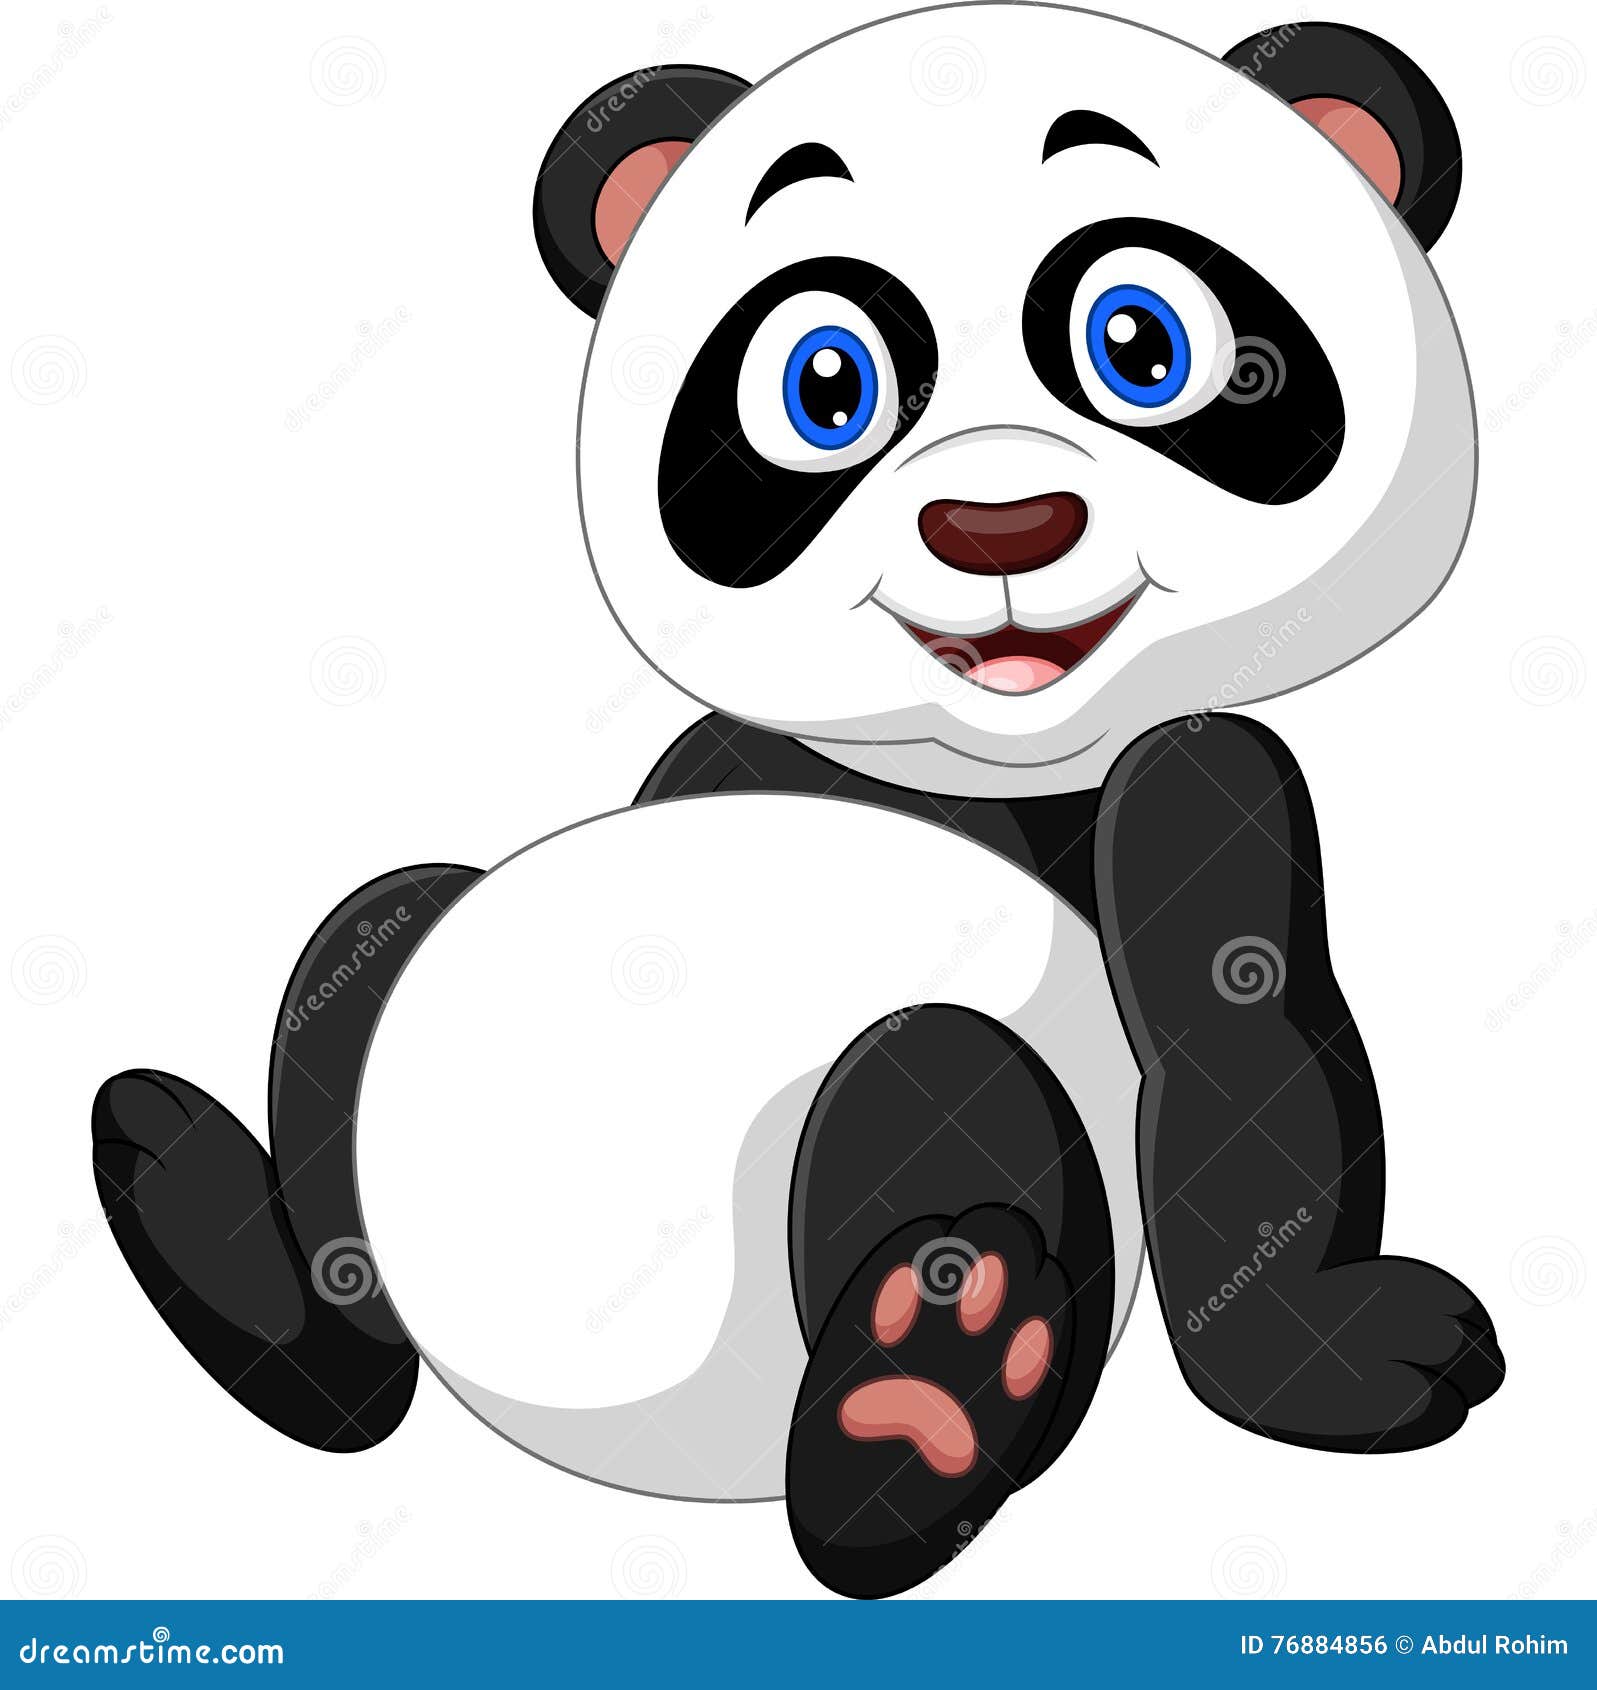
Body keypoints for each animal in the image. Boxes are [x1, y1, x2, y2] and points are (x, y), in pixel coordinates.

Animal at [92, 5, 1502, 1601]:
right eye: (825, 384)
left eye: (1140, 345)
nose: (998, 526)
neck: (973, 761)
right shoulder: (713, 755)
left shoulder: (1200, 788)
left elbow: (1238, 1044)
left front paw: (1323, 1355)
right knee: (382, 936)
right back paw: (217, 1239)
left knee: (937, 1070)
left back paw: (918, 1403)